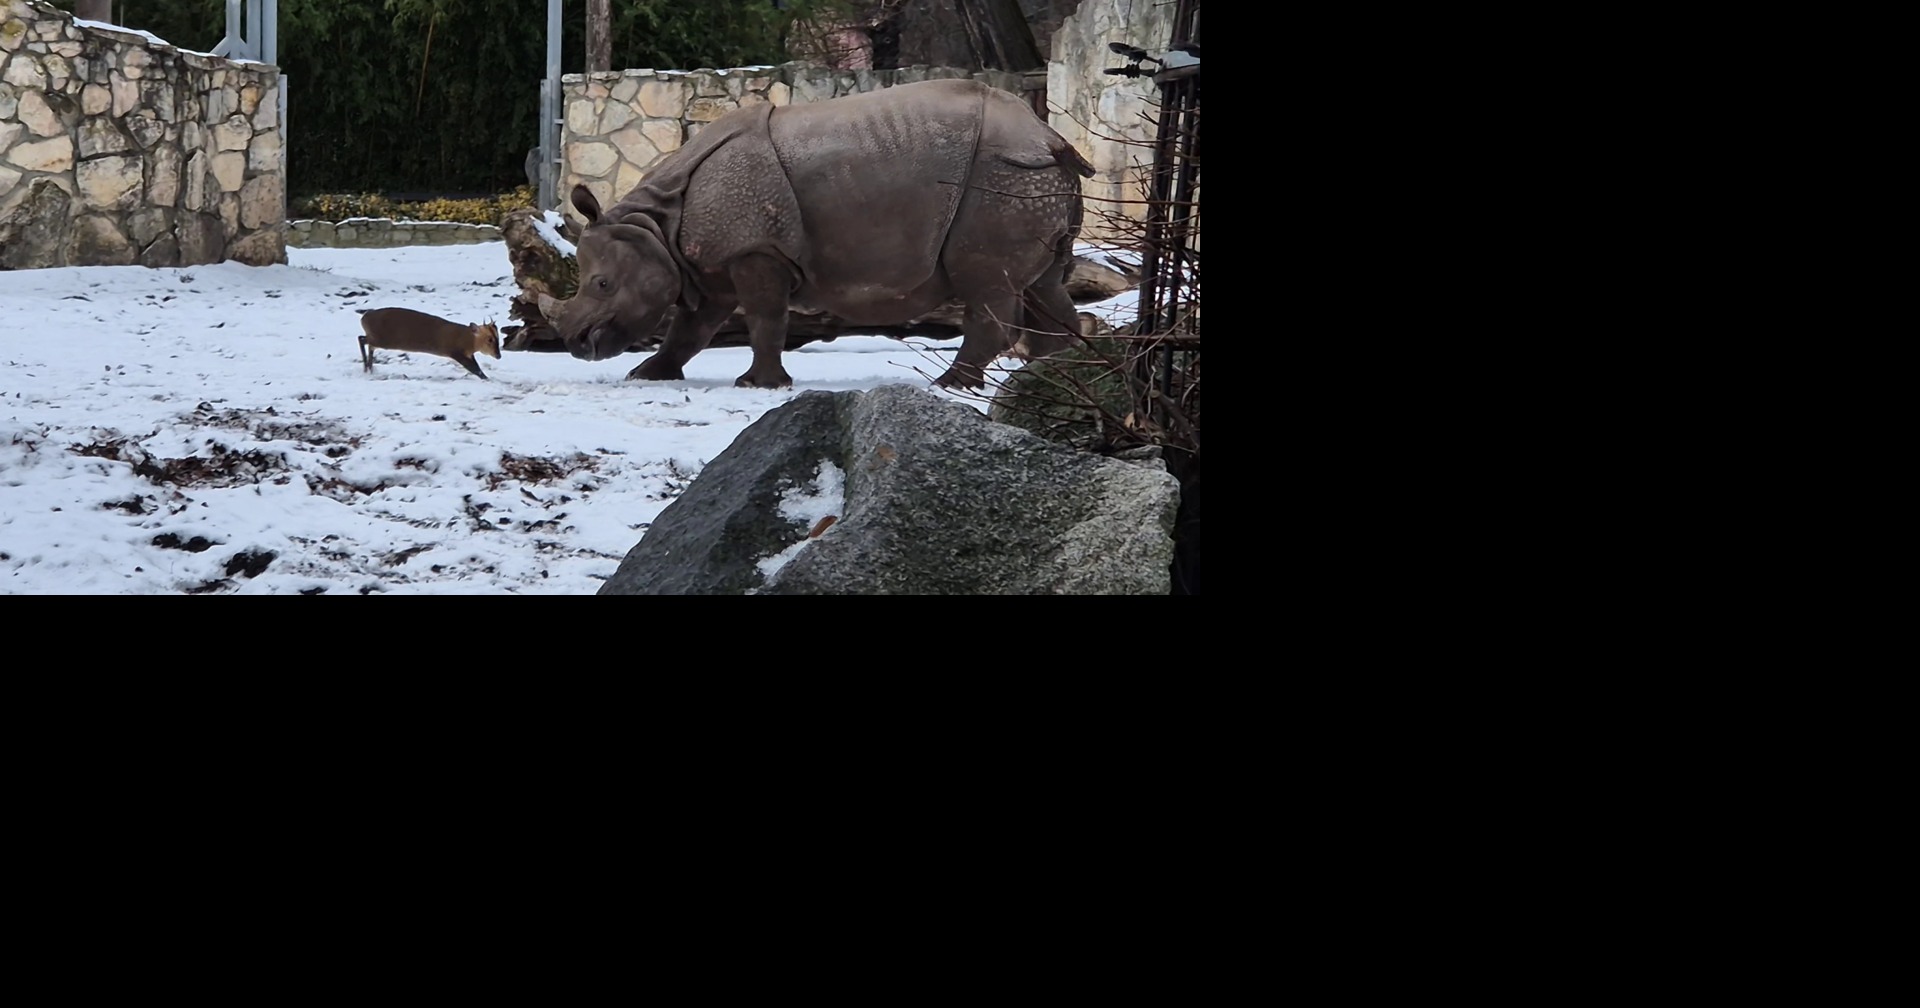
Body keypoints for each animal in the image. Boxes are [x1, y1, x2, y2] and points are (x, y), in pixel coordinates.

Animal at [558, 78, 1094, 389]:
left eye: (602, 284)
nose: (576, 344)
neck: (656, 226)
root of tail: (1050, 136)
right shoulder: (708, 264)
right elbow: (690, 328)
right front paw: (646, 375)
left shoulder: (757, 249)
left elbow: (765, 319)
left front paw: (759, 385)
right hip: (1031, 180)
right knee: (1046, 283)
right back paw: (1059, 373)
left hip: (1003, 178)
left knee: (987, 284)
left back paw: (950, 385)